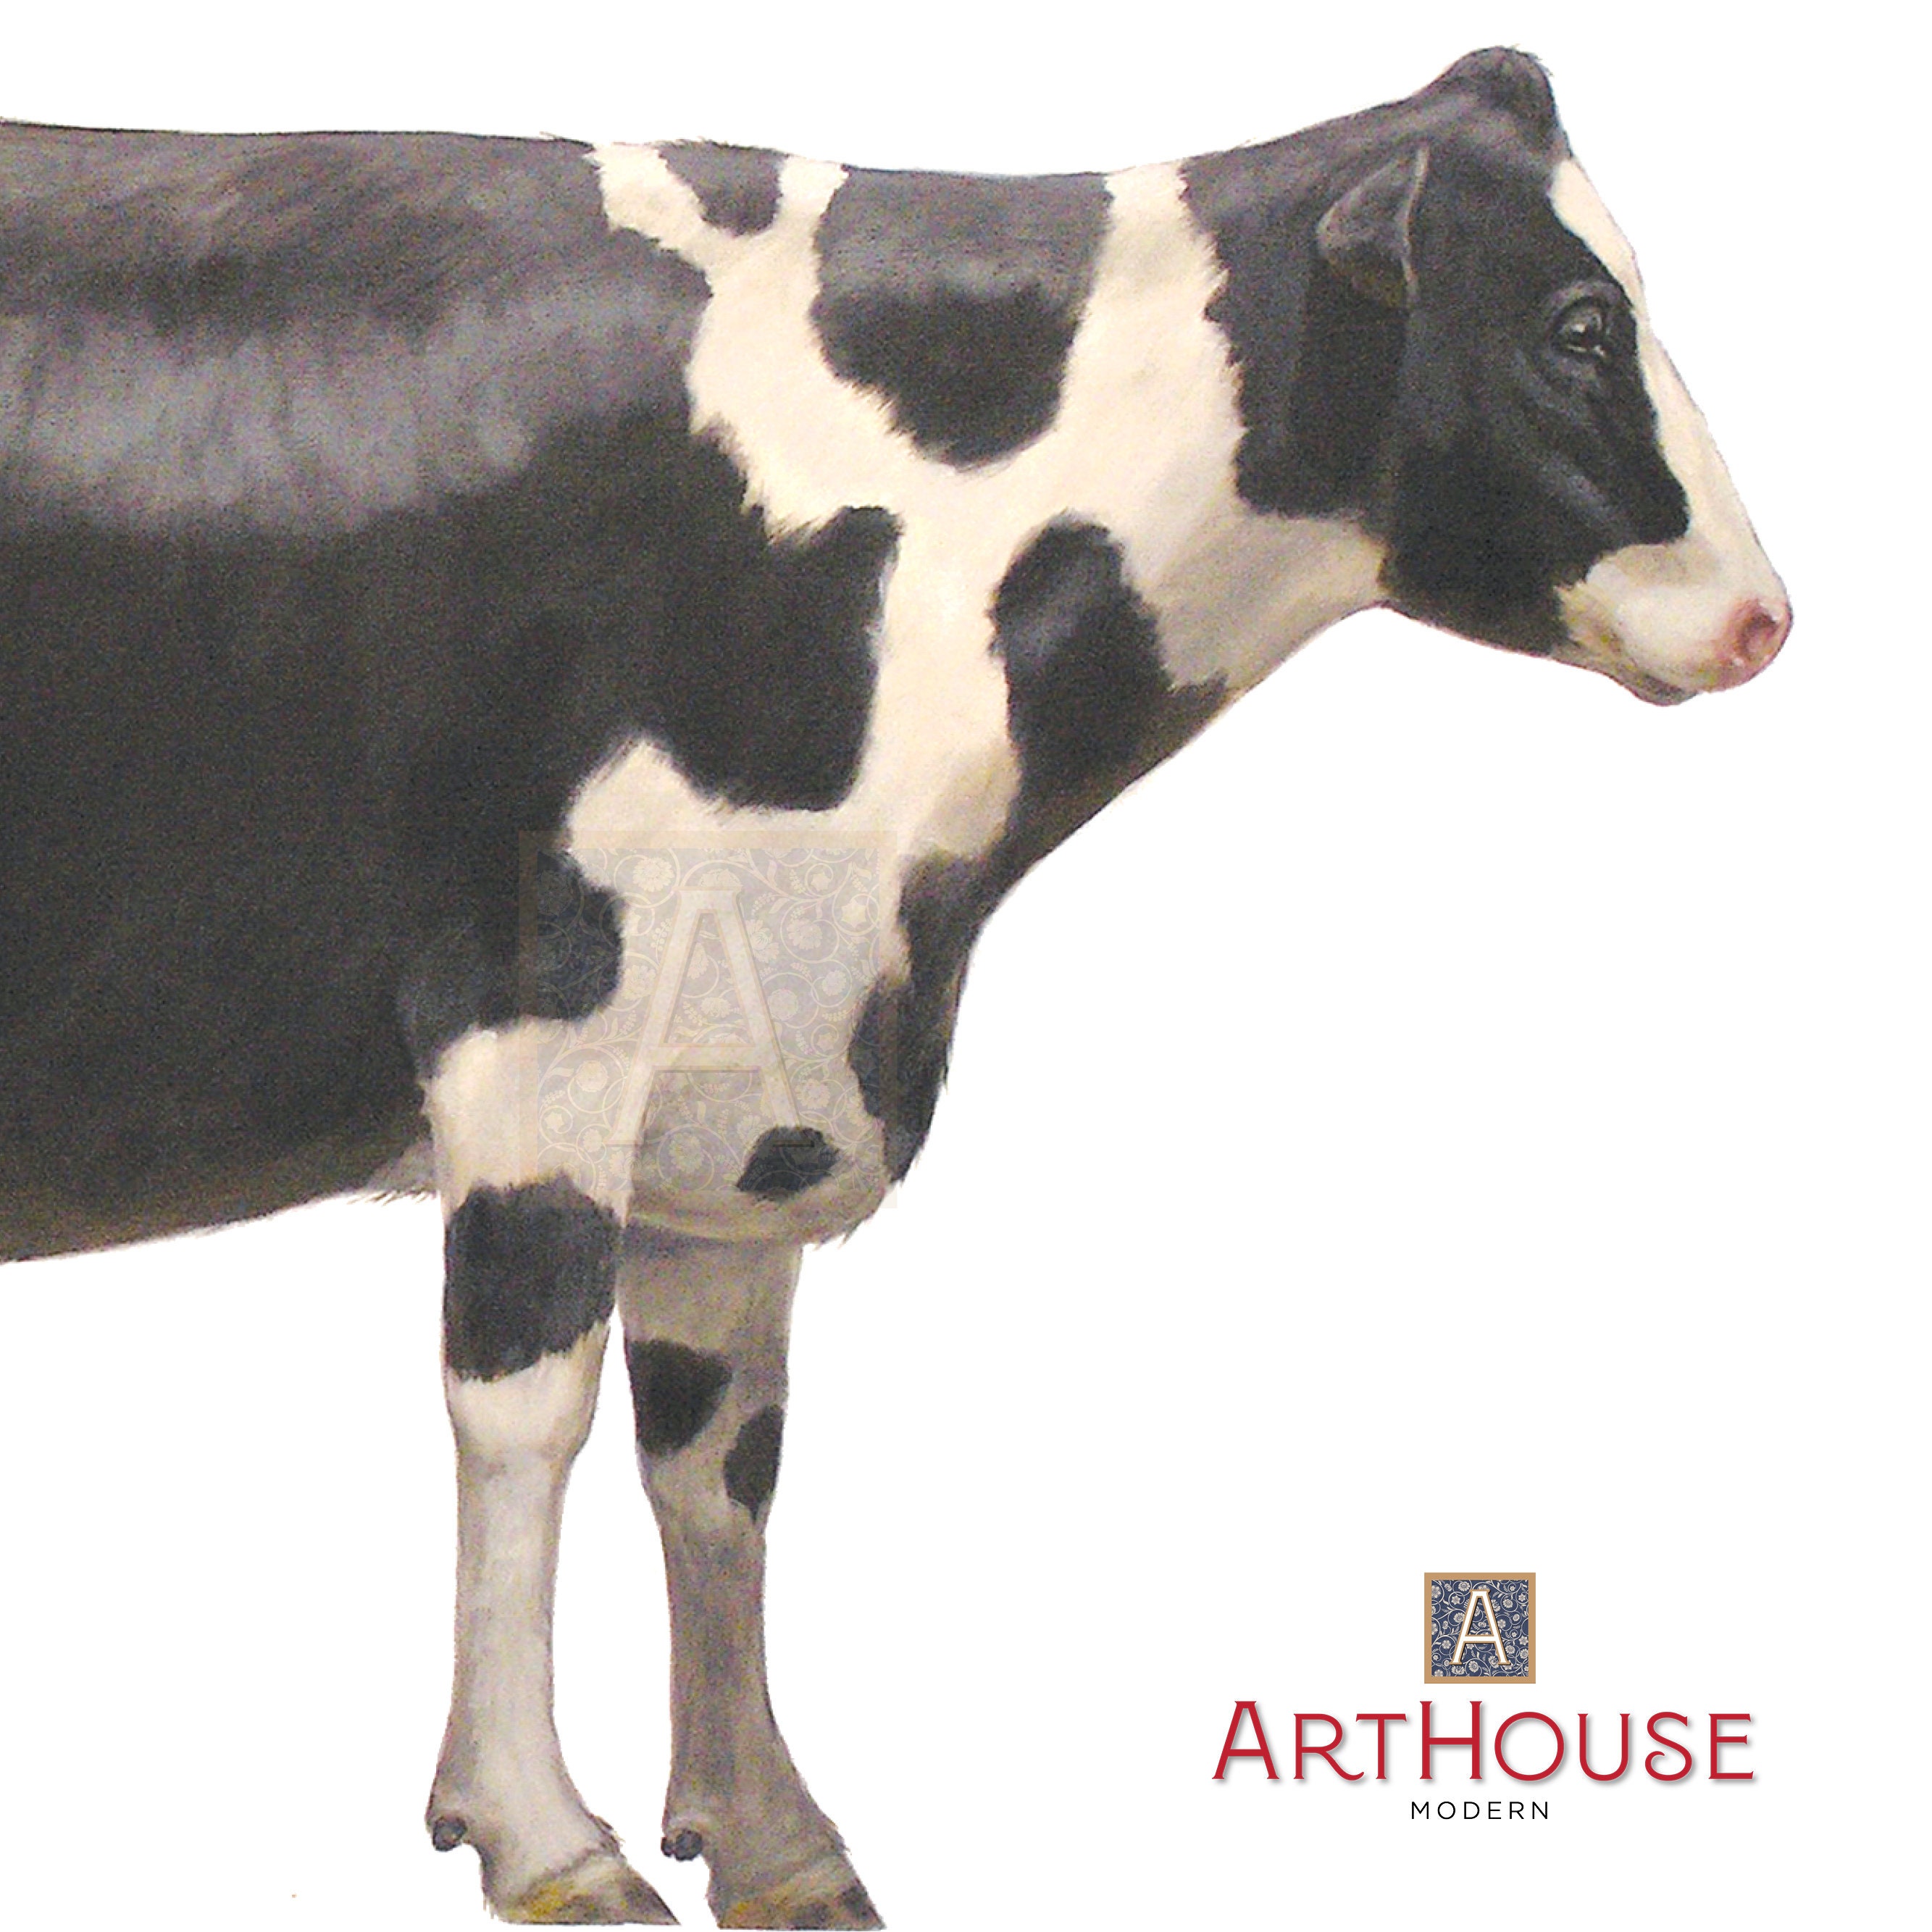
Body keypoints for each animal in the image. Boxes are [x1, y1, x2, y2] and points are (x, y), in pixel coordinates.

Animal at [0, 45, 1785, 1929]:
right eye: (1581, 325)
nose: (1766, 618)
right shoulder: (542, 1021)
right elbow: (527, 1414)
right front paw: (544, 1830)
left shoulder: (749, 1074)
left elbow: (720, 1453)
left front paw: (771, 1829)